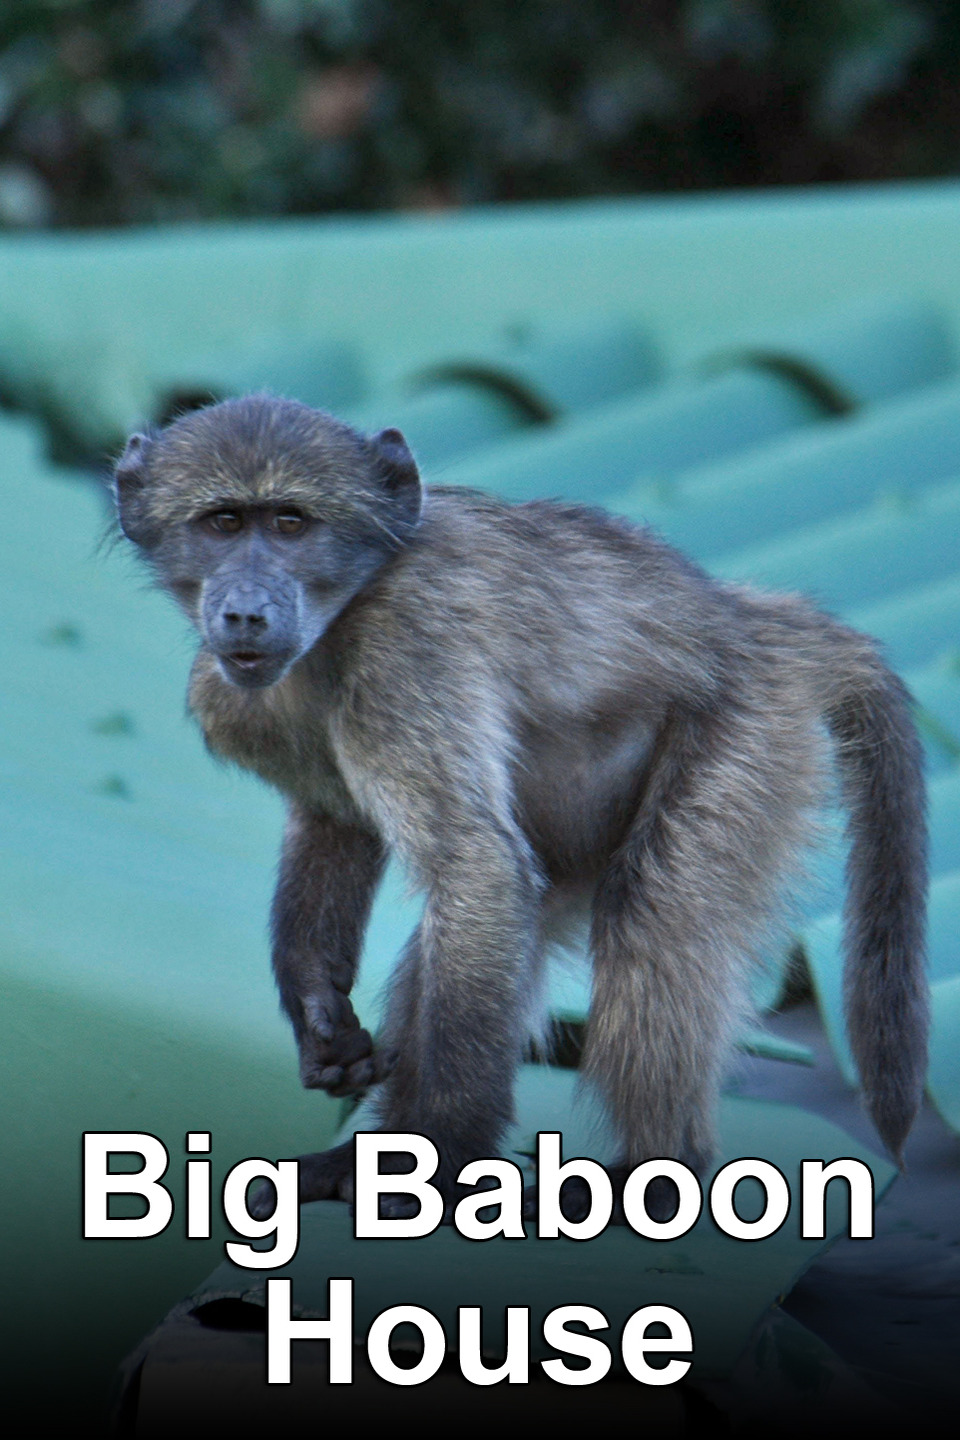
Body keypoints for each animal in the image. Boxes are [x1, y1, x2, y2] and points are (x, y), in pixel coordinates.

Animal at [113, 393, 928, 1218]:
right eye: (222, 522)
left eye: (289, 523)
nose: (246, 614)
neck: (342, 614)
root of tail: (753, 623)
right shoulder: (241, 701)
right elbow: (340, 828)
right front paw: (322, 1021)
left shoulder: (406, 651)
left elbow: (474, 863)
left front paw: (446, 1151)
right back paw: (365, 1161)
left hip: (748, 733)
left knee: (643, 914)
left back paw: (652, 1172)